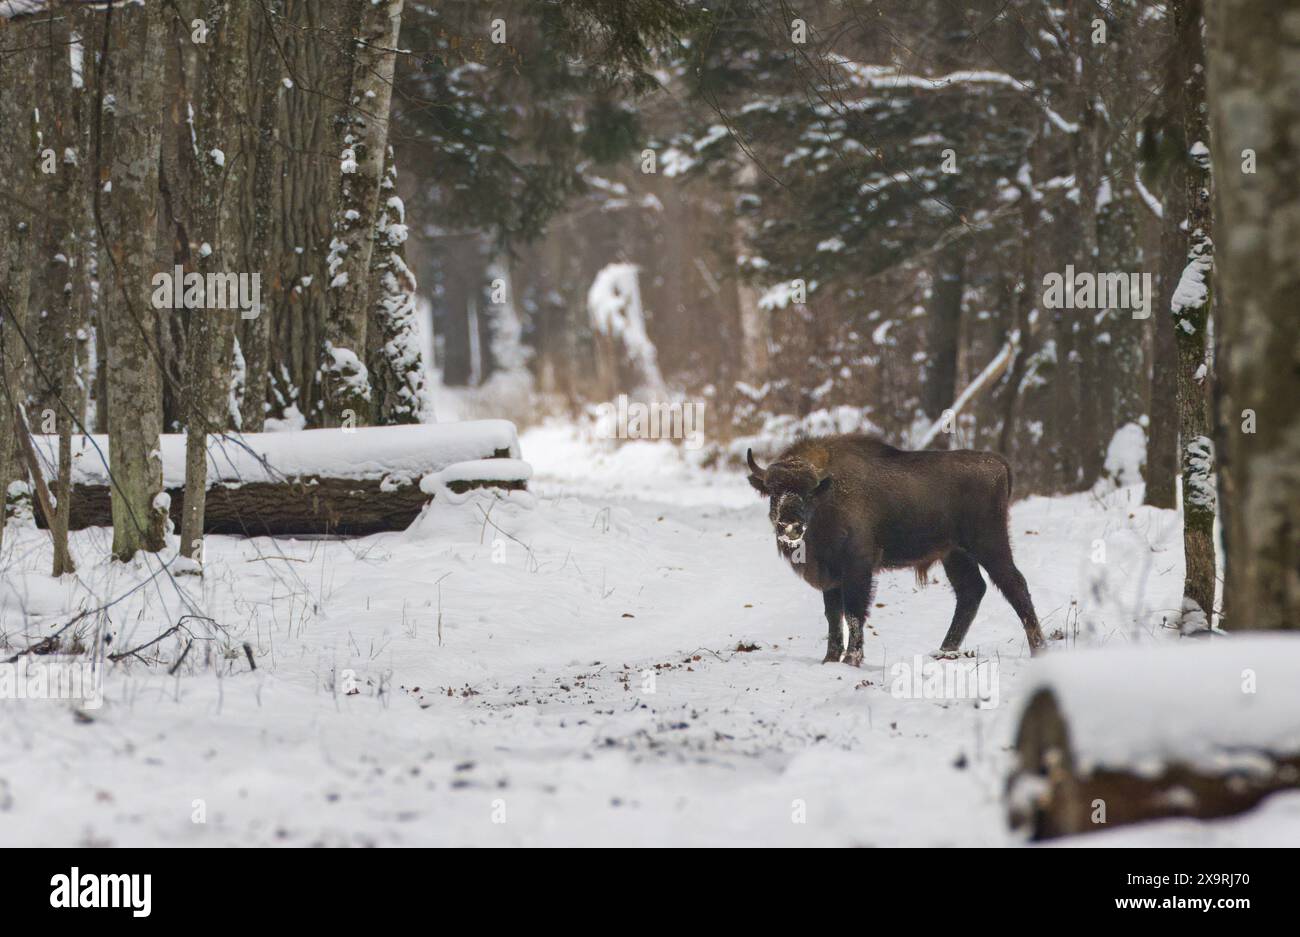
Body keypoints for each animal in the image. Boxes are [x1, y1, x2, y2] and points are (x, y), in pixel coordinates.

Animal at [746, 434, 1045, 665]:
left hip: (989, 545)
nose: (790, 526)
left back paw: (1038, 649)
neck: (828, 494)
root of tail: (997, 463)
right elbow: (833, 617)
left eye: (808, 493)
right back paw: (943, 651)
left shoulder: (857, 568)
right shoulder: (830, 577)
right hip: (955, 555)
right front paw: (829, 660)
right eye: (773, 491)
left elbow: (853, 613)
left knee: (1015, 585)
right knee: (971, 591)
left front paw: (851, 660)